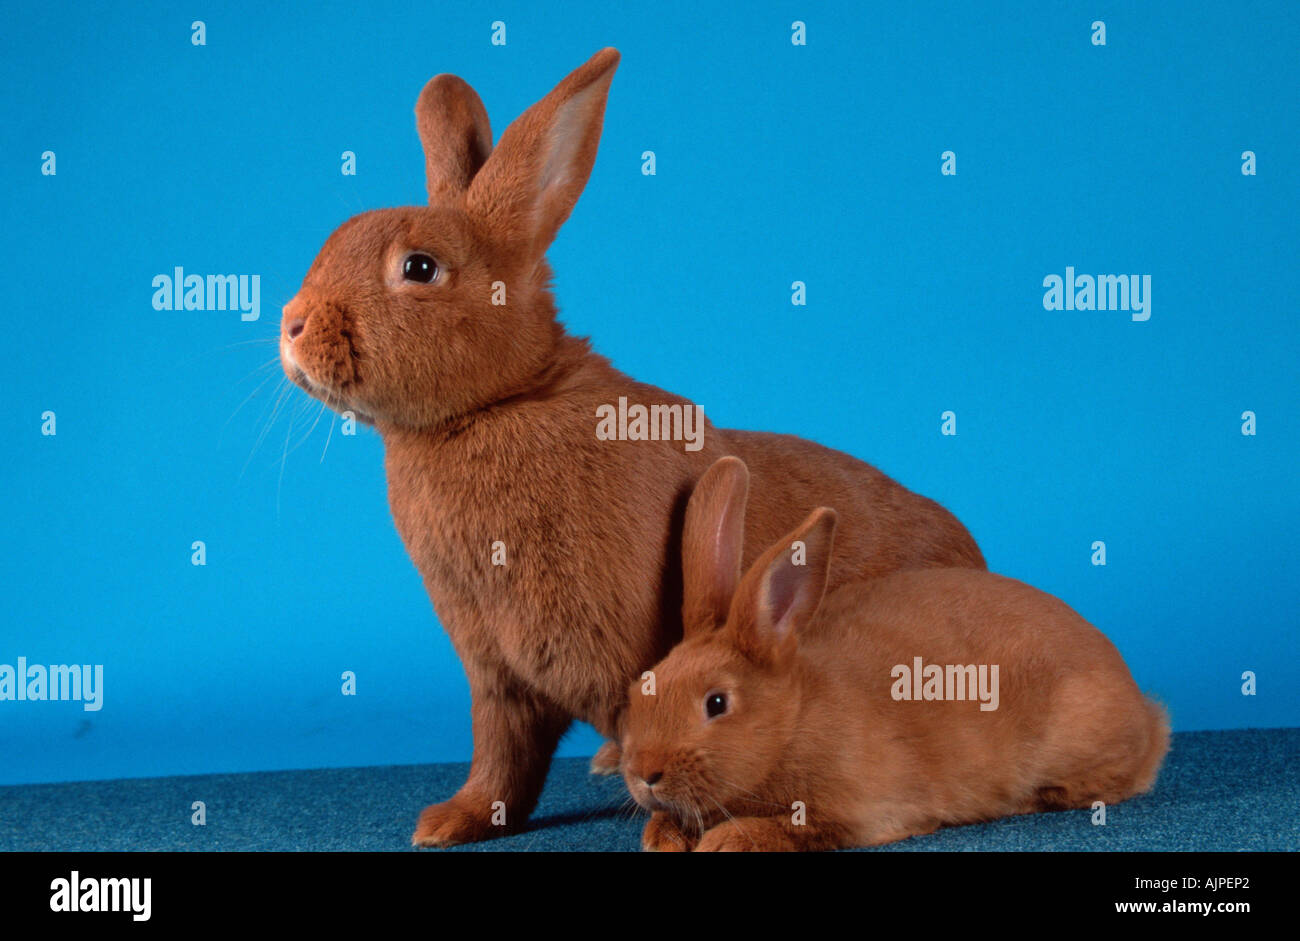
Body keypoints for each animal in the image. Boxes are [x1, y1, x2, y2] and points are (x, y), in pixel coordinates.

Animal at [277, 48, 986, 848]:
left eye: (419, 268)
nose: (292, 326)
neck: (501, 400)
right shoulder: (497, 678)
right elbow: (502, 759)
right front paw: (451, 821)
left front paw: (664, 824)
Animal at [621, 456, 1169, 851]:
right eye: (638, 693)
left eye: (716, 703)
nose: (645, 774)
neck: (792, 722)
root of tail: (1147, 711)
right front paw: (662, 837)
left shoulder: (861, 811)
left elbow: (790, 829)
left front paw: (723, 841)